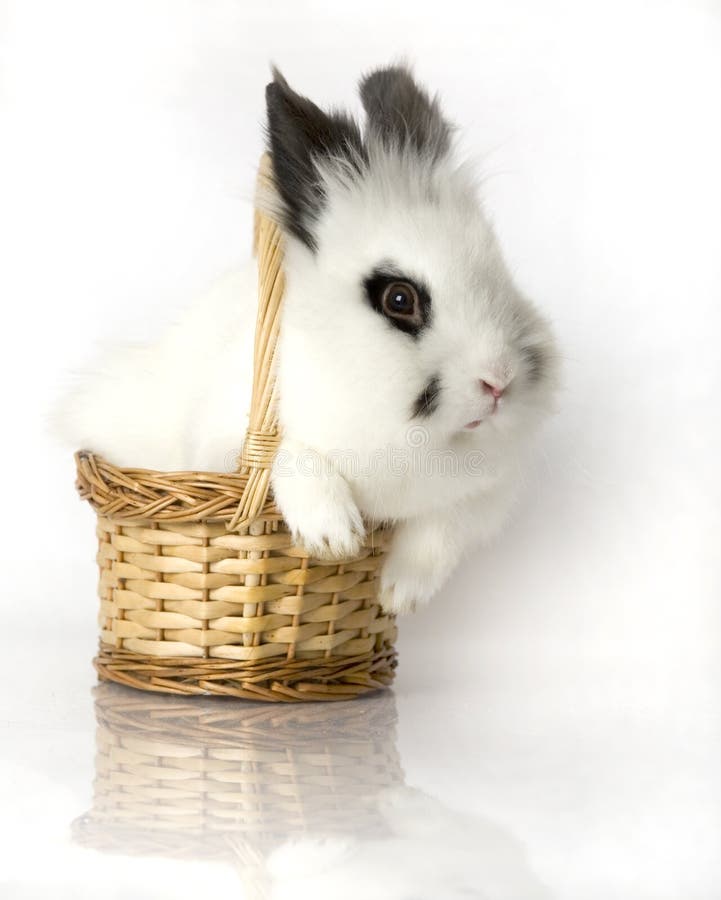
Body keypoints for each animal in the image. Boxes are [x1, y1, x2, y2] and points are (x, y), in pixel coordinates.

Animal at [56, 64, 559, 615]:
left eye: (500, 274)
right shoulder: (224, 451)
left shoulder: (484, 492)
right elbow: (286, 453)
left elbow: (443, 530)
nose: (500, 381)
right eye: (399, 299)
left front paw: (397, 593)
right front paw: (333, 536)